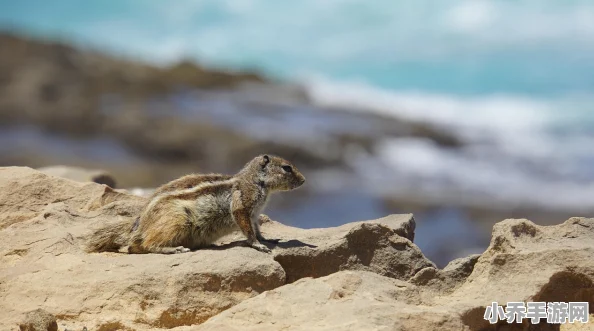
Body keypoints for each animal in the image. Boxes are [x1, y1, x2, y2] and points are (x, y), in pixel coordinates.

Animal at [85, 155, 302, 254]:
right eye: (287, 168)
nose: (304, 180)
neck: (254, 181)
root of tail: (138, 226)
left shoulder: (255, 214)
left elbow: (257, 228)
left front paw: (267, 239)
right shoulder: (242, 205)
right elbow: (247, 229)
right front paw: (258, 245)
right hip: (175, 221)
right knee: (147, 244)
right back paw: (173, 249)